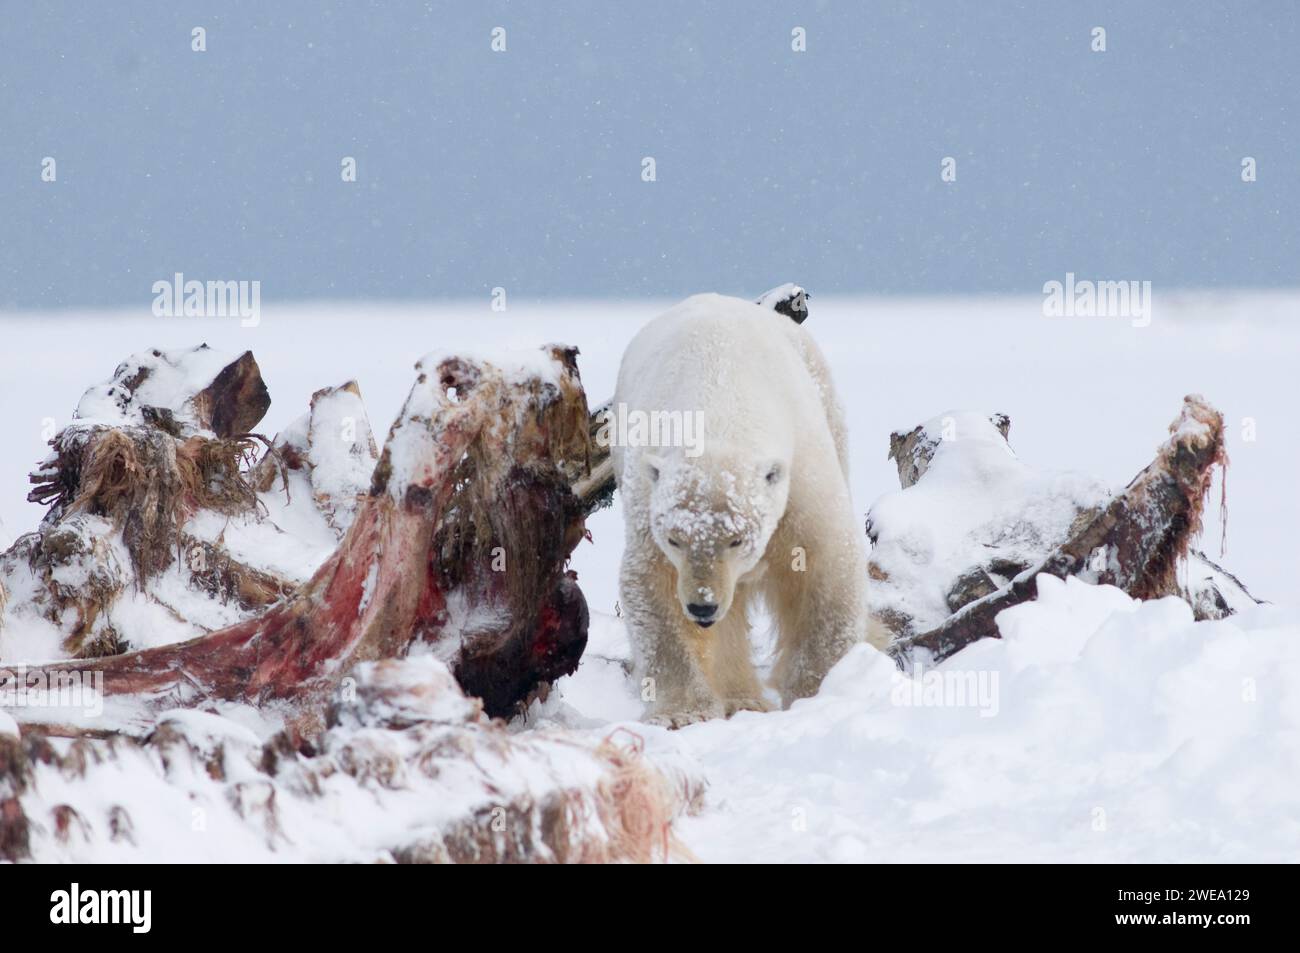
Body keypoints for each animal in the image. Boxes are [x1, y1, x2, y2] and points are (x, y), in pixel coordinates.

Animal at [610, 292, 880, 728]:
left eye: (737, 540)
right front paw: (682, 713)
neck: (719, 400)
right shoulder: (649, 497)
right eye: (675, 539)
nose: (702, 606)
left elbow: (823, 566)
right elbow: (652, 583)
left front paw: (818, 692)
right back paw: (743, 700)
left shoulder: (799, 481)